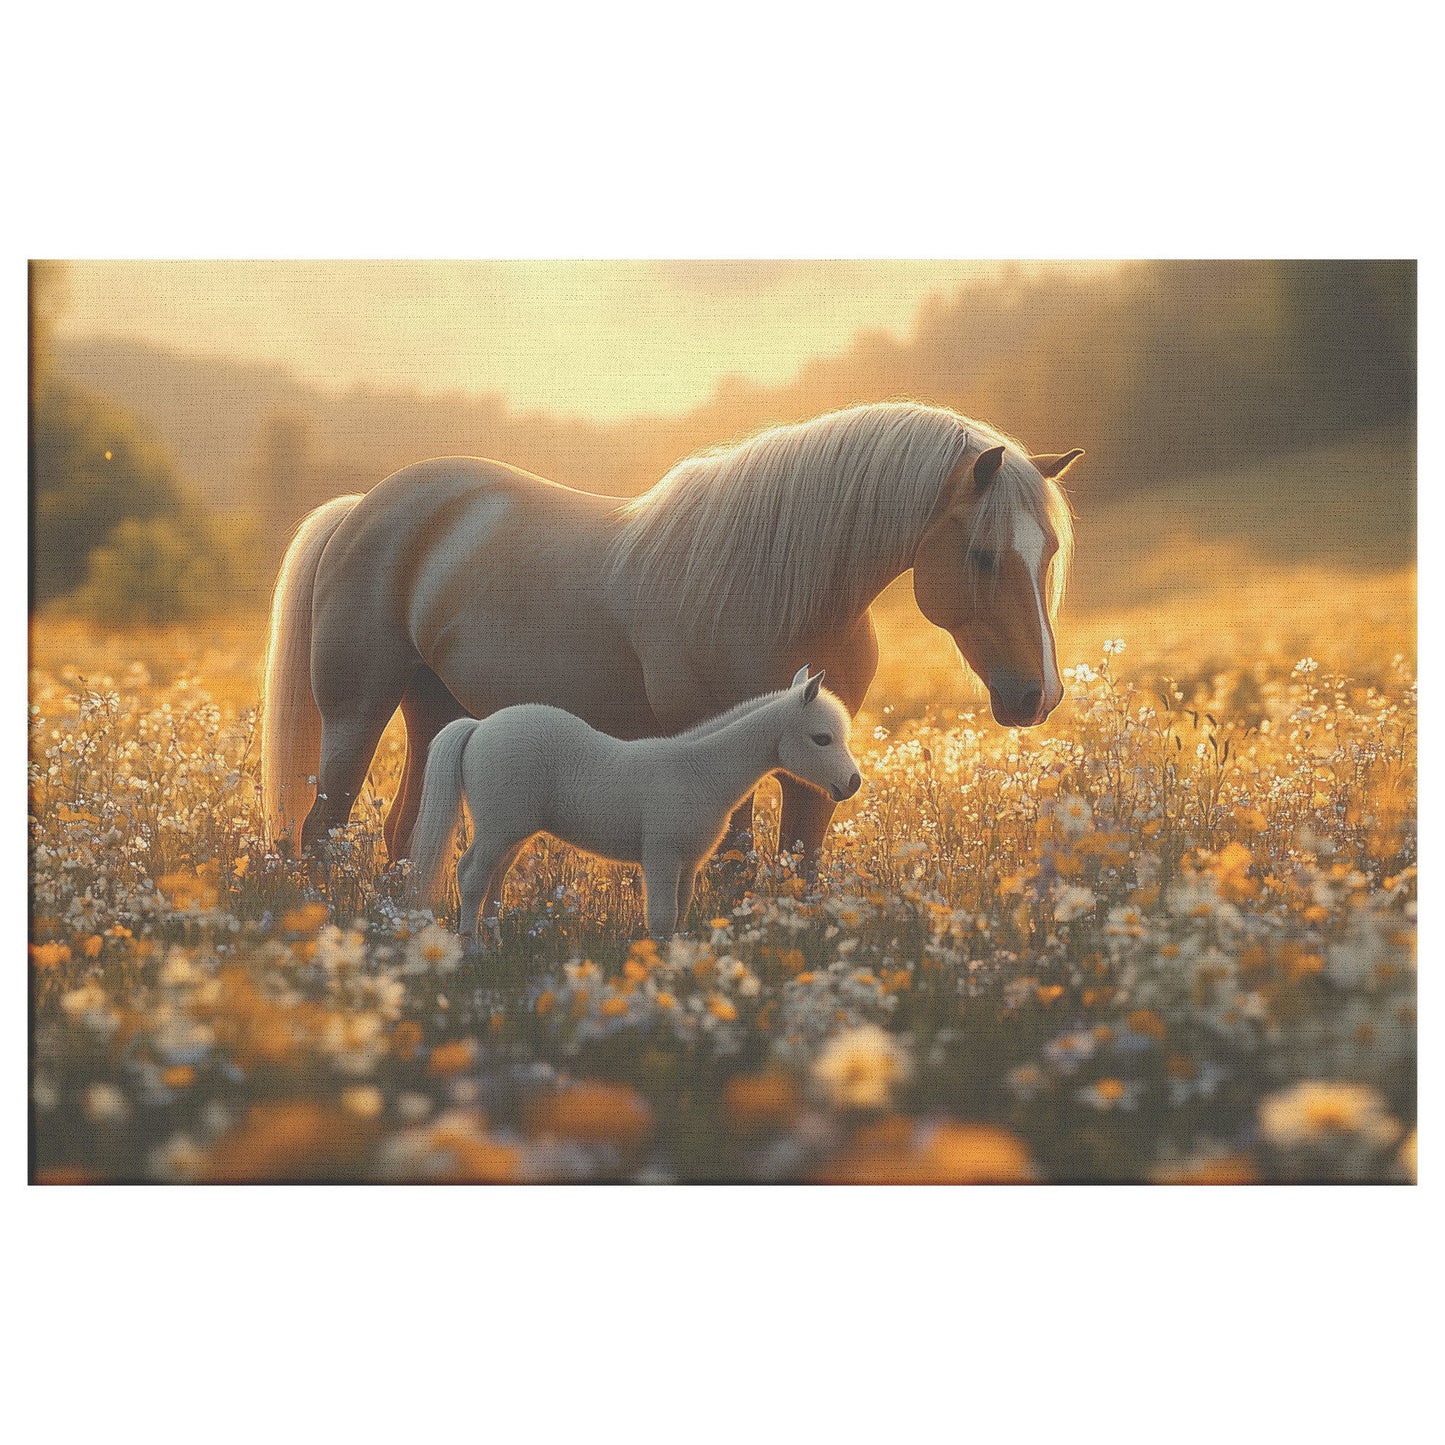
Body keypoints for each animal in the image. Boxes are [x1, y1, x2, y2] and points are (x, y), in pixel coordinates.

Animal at [259, 400, 1082, 897]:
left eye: (1048, 553)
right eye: (982, 556)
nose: (1036, 696)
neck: (779, 588)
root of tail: (363, 508)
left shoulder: (818, 774)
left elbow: (803, 871)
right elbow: (735, 873)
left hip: (433, 711)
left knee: (403, 835)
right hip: (357, 711)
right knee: (321, 831)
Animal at [406, 666, 860, 944]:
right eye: (822, 738)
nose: (852, 783)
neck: (698, 771)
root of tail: (480, 726)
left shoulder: (688, 863)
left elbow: (678, 916)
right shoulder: (661, 857)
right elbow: (659, 919)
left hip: (512, 833)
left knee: (494, 881)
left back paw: (493, 944)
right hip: (499, 830)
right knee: (472, 876)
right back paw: (471, 950)